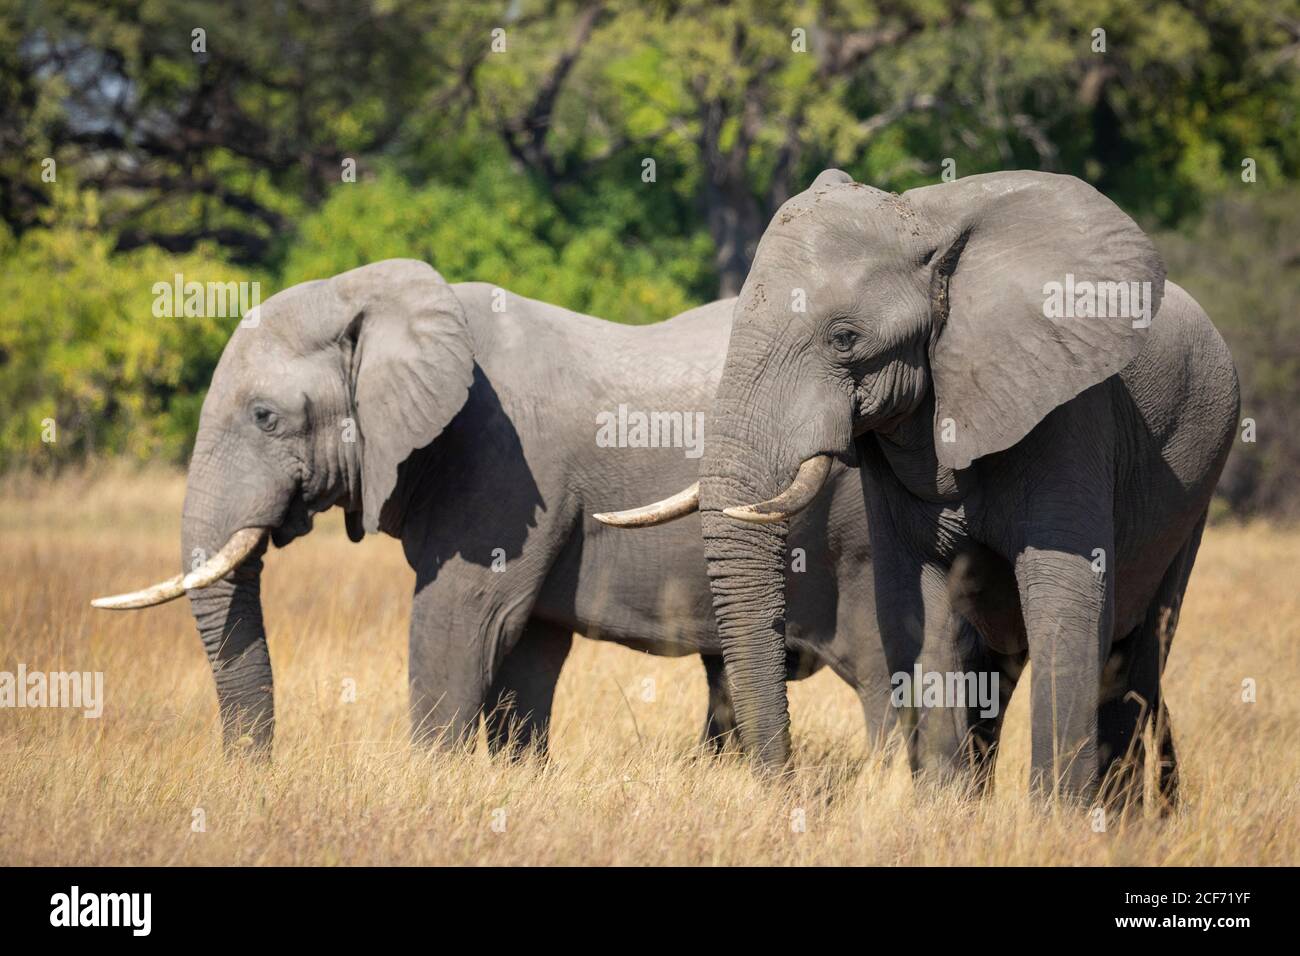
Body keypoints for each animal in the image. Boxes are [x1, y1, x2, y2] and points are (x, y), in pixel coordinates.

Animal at [91, 259, 895, 758]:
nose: (254, 773)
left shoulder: (507, 465)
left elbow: (462, 625)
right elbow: (526, 654)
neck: (372, 297)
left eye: (264, 417)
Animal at [602, 170, 1239, 805]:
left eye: (844, 338)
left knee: (1137, 651)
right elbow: (917, 606)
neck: (926, 225)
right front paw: (942, 809)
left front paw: (1058, 819)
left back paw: (1123, 815)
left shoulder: (1069, 409)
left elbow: (1067, 600)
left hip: (1195, 484)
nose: (784, 787)